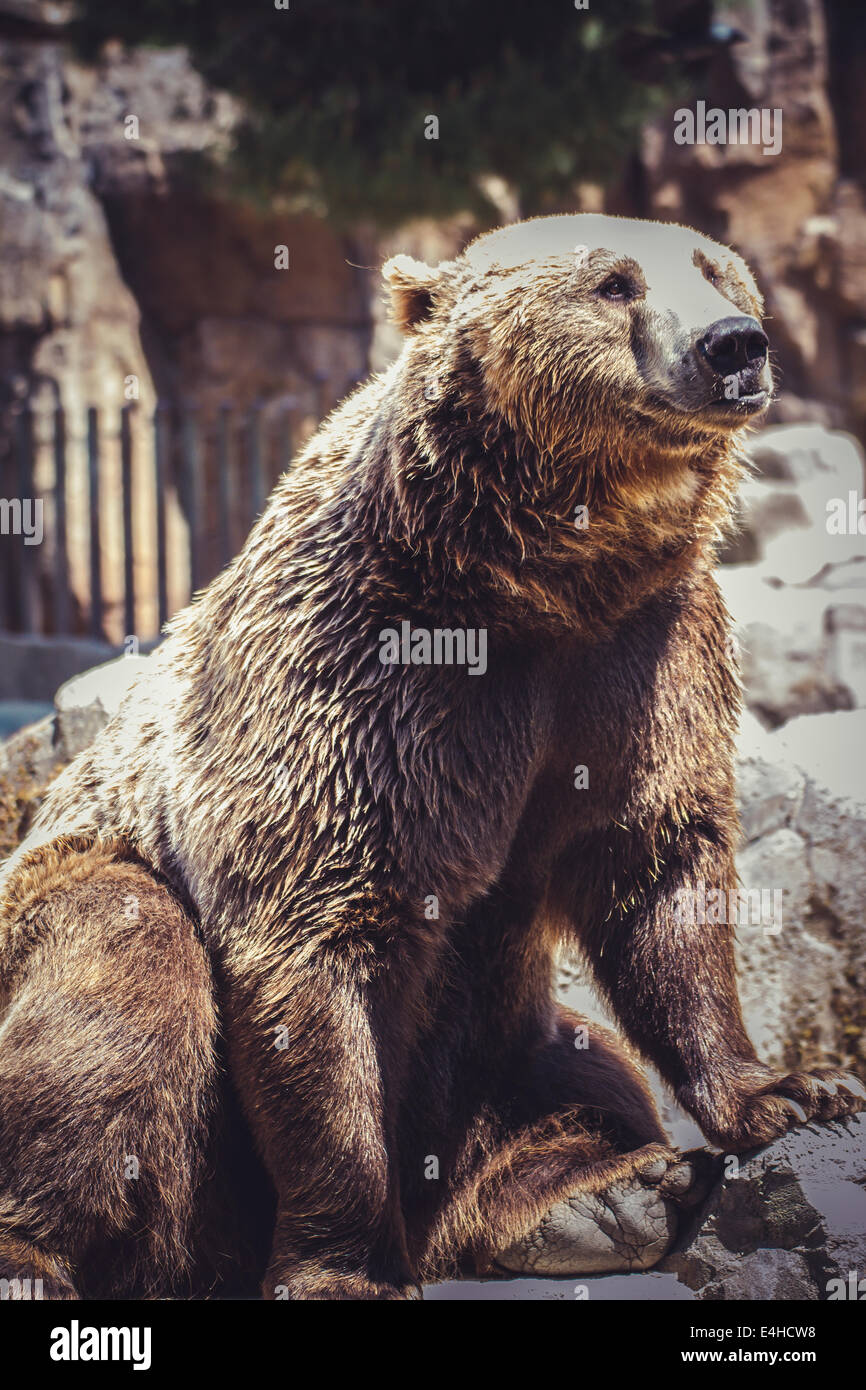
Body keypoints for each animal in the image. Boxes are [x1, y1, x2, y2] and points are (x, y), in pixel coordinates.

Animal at [0, 213, 863, 1301]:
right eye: (614, 282)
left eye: (716, 270)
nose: (733, 345)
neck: (544, 579)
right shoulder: (366, 676)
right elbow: (321, 944)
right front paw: (347, 1268)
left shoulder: (647, 655)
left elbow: (657, 870)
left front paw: (795, 1087)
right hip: (58, 923)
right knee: (120, 972)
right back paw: (34, 1255)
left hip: (505, 1032)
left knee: (582, 1063)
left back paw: (602, 1195)